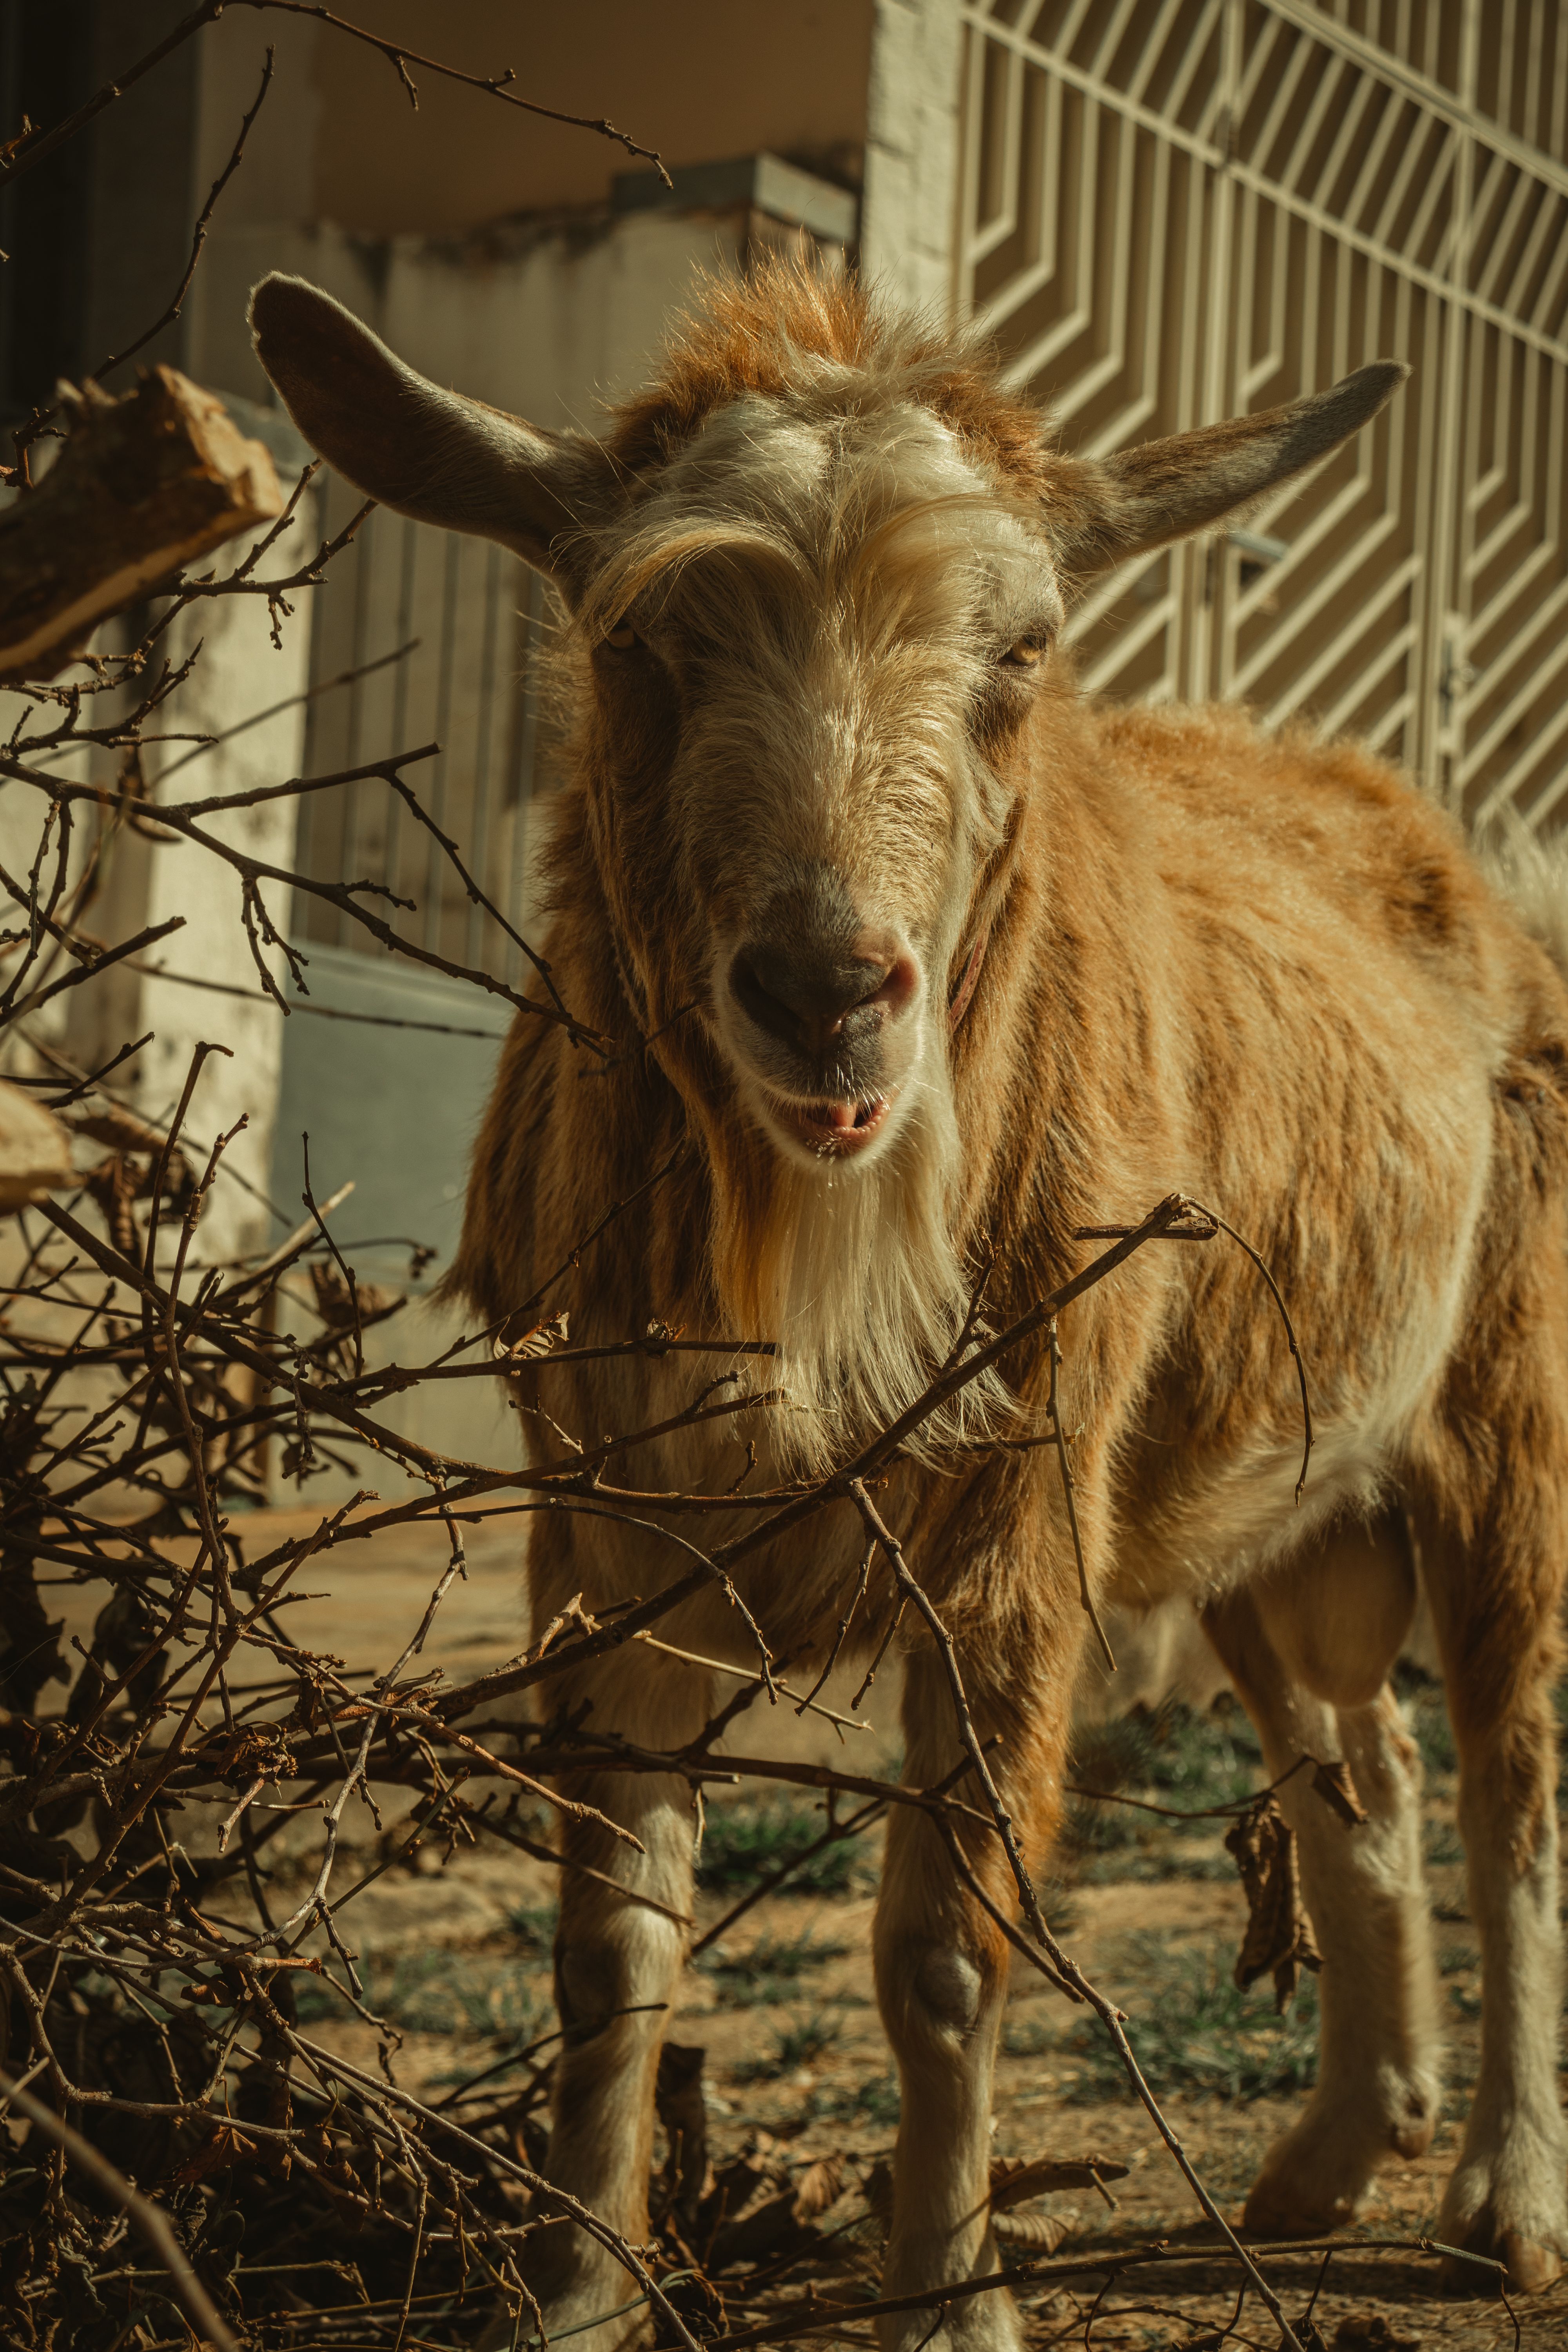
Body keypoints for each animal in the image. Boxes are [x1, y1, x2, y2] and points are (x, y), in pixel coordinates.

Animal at [252, 264, 1567, 2349]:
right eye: (640, 639)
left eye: (1020, 650)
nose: (825, 987)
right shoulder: (607, 1524)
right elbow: (607, 1945)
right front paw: (572, 2295)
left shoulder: (1019, 1517)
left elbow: (944, 1947)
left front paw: (948, 2301)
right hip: (1260, 1490)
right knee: (1359, 1767)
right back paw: (1326, 2152)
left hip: (1495, 1406)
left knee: (1512, 1769)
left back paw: (1502, 2197)